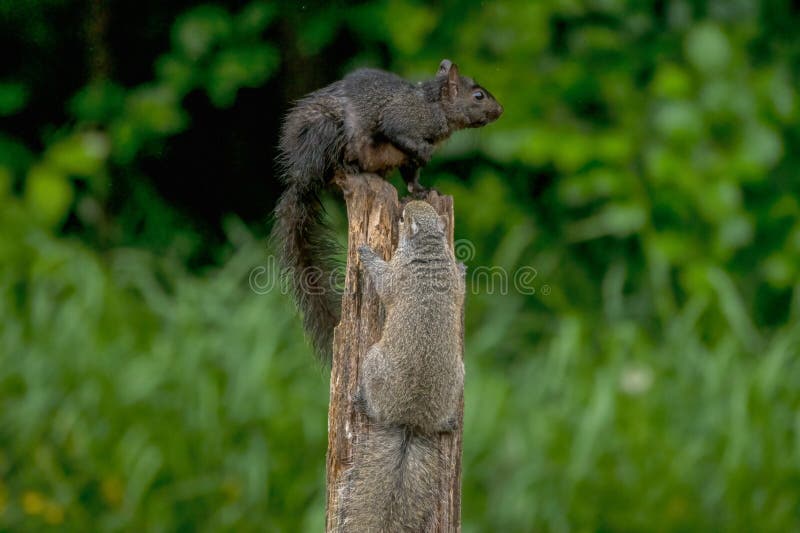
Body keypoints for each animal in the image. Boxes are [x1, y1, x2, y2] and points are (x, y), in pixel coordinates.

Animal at [272, 59, 502, 360]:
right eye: (478, 96)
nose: (500, 110)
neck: (434, 105)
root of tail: (299, 179)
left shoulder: (407, 160)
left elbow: (412, 177)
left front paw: (424, 191)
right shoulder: (402, 120)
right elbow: (399, 134)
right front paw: (426, 154)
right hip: (326, 133)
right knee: (327, 167)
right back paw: (347, 168)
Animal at [340, 200, 465, 532]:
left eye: (402, 219)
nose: (406, 205)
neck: (430, 247)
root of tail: (410, 419)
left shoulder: (395, 275)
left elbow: (383, 281)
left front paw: (366, 252)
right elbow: (461, 291)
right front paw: (463, 268)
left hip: (372, 361)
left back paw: (360, 400)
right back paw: (448, 423)